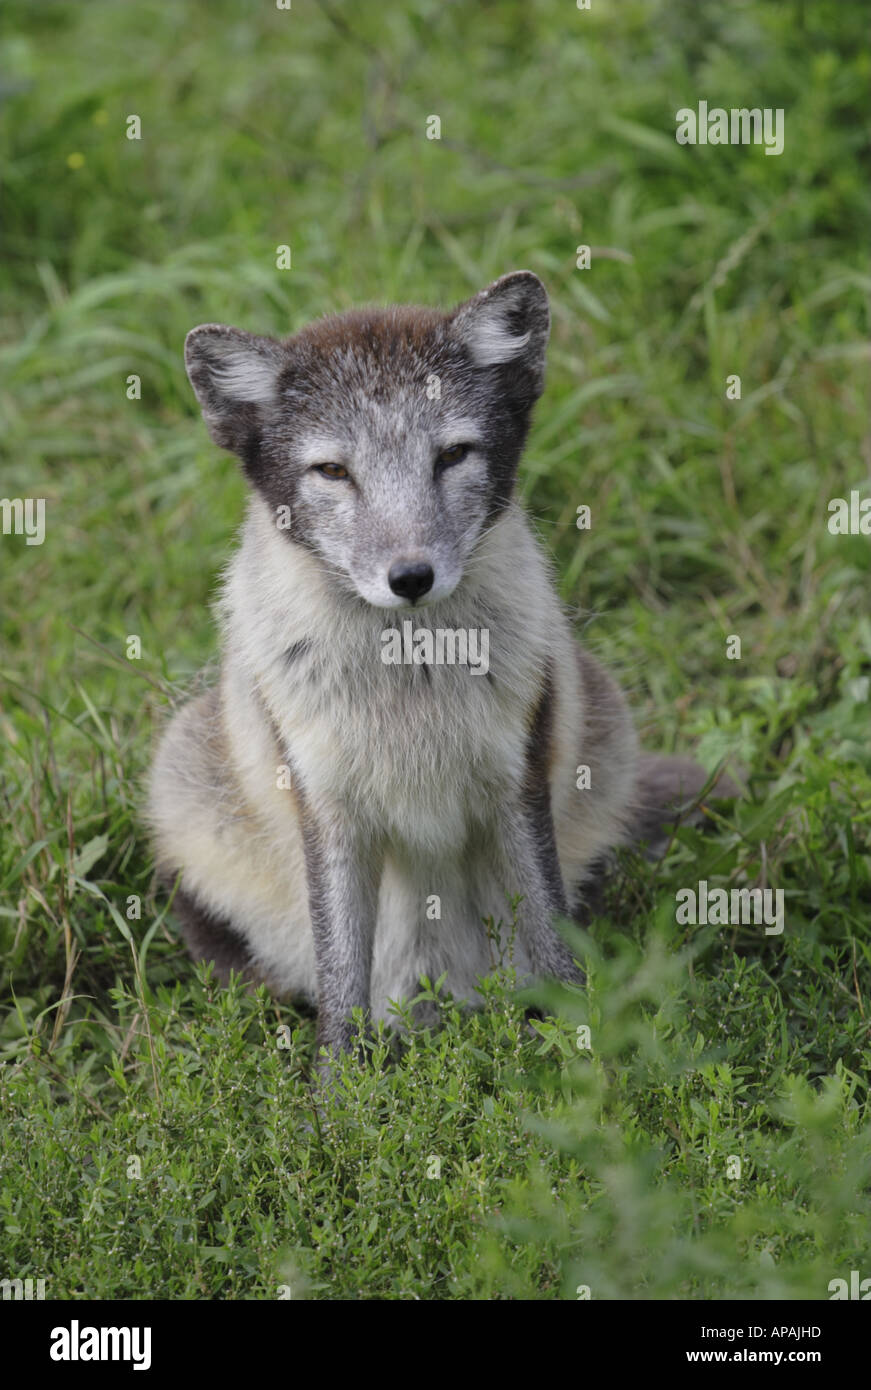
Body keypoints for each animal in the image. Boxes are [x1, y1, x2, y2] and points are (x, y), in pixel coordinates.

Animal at [147, 270, 732, 1065]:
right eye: (333, 471)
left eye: (452, 455)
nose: (411, 577)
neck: (412, 679)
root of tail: (440, 1003)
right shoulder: (326, 807)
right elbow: (342, 985)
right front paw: (338, 1092)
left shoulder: (519, 779)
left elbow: (553, 942)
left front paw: (579, 1056)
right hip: (180, 771)